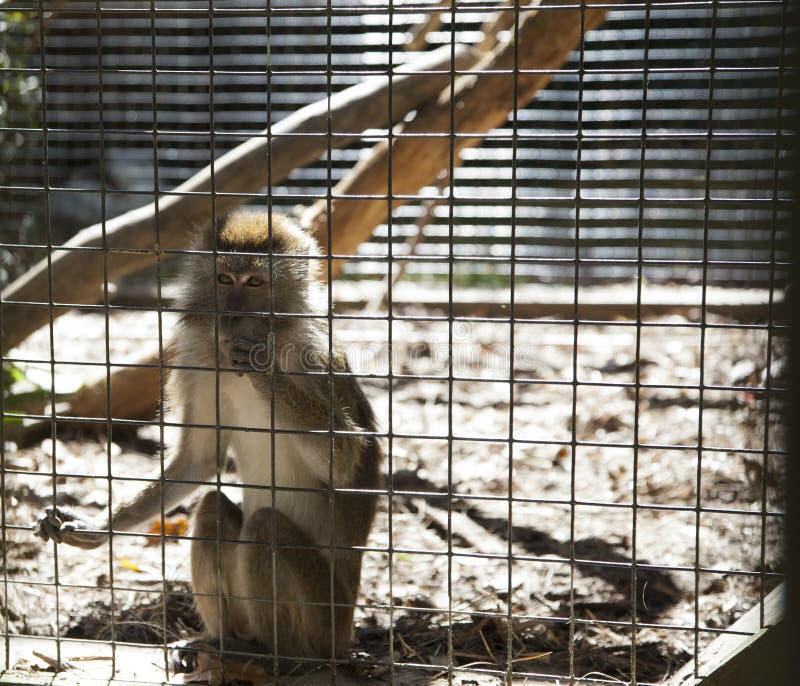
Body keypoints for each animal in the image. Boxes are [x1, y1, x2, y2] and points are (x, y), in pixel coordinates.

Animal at [33, 210, 382, 678]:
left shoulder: (316, 358)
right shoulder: (199, 362)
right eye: (224, 278)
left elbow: (344, 465)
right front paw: (94, 529)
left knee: (264, 529)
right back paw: (222, 641)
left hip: (325, 618)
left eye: (255, 283)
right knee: (215, 508)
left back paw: (280, 658)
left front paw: (264, 369)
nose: (230, 317)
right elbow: (198, 461)